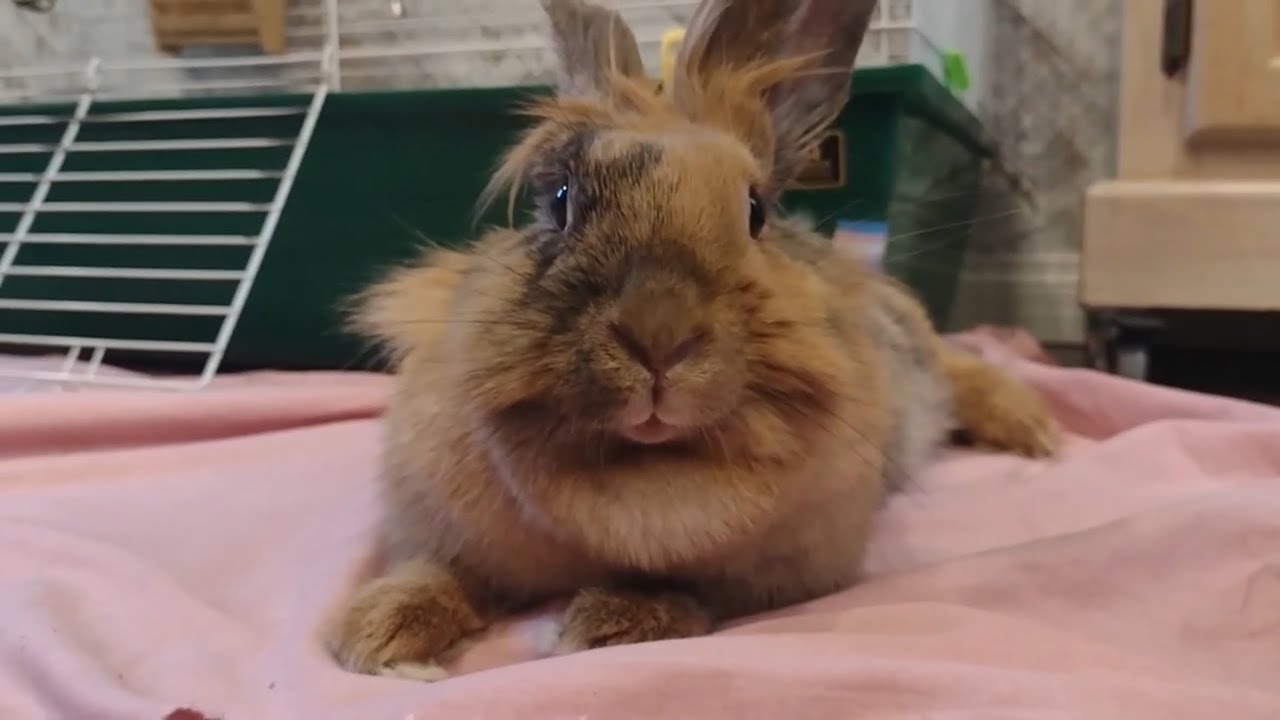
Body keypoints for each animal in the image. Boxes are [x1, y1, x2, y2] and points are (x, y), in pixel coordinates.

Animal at [323, 0, 1060, 680]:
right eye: (559, 202)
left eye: (755, 210)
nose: (660, 337)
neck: (646, 470)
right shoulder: (444, 533)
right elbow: (439, 573)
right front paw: (377, 634)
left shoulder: (779, 574)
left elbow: (692, 590)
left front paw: (608, 623)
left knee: (967, 367)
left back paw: (1037, 431)